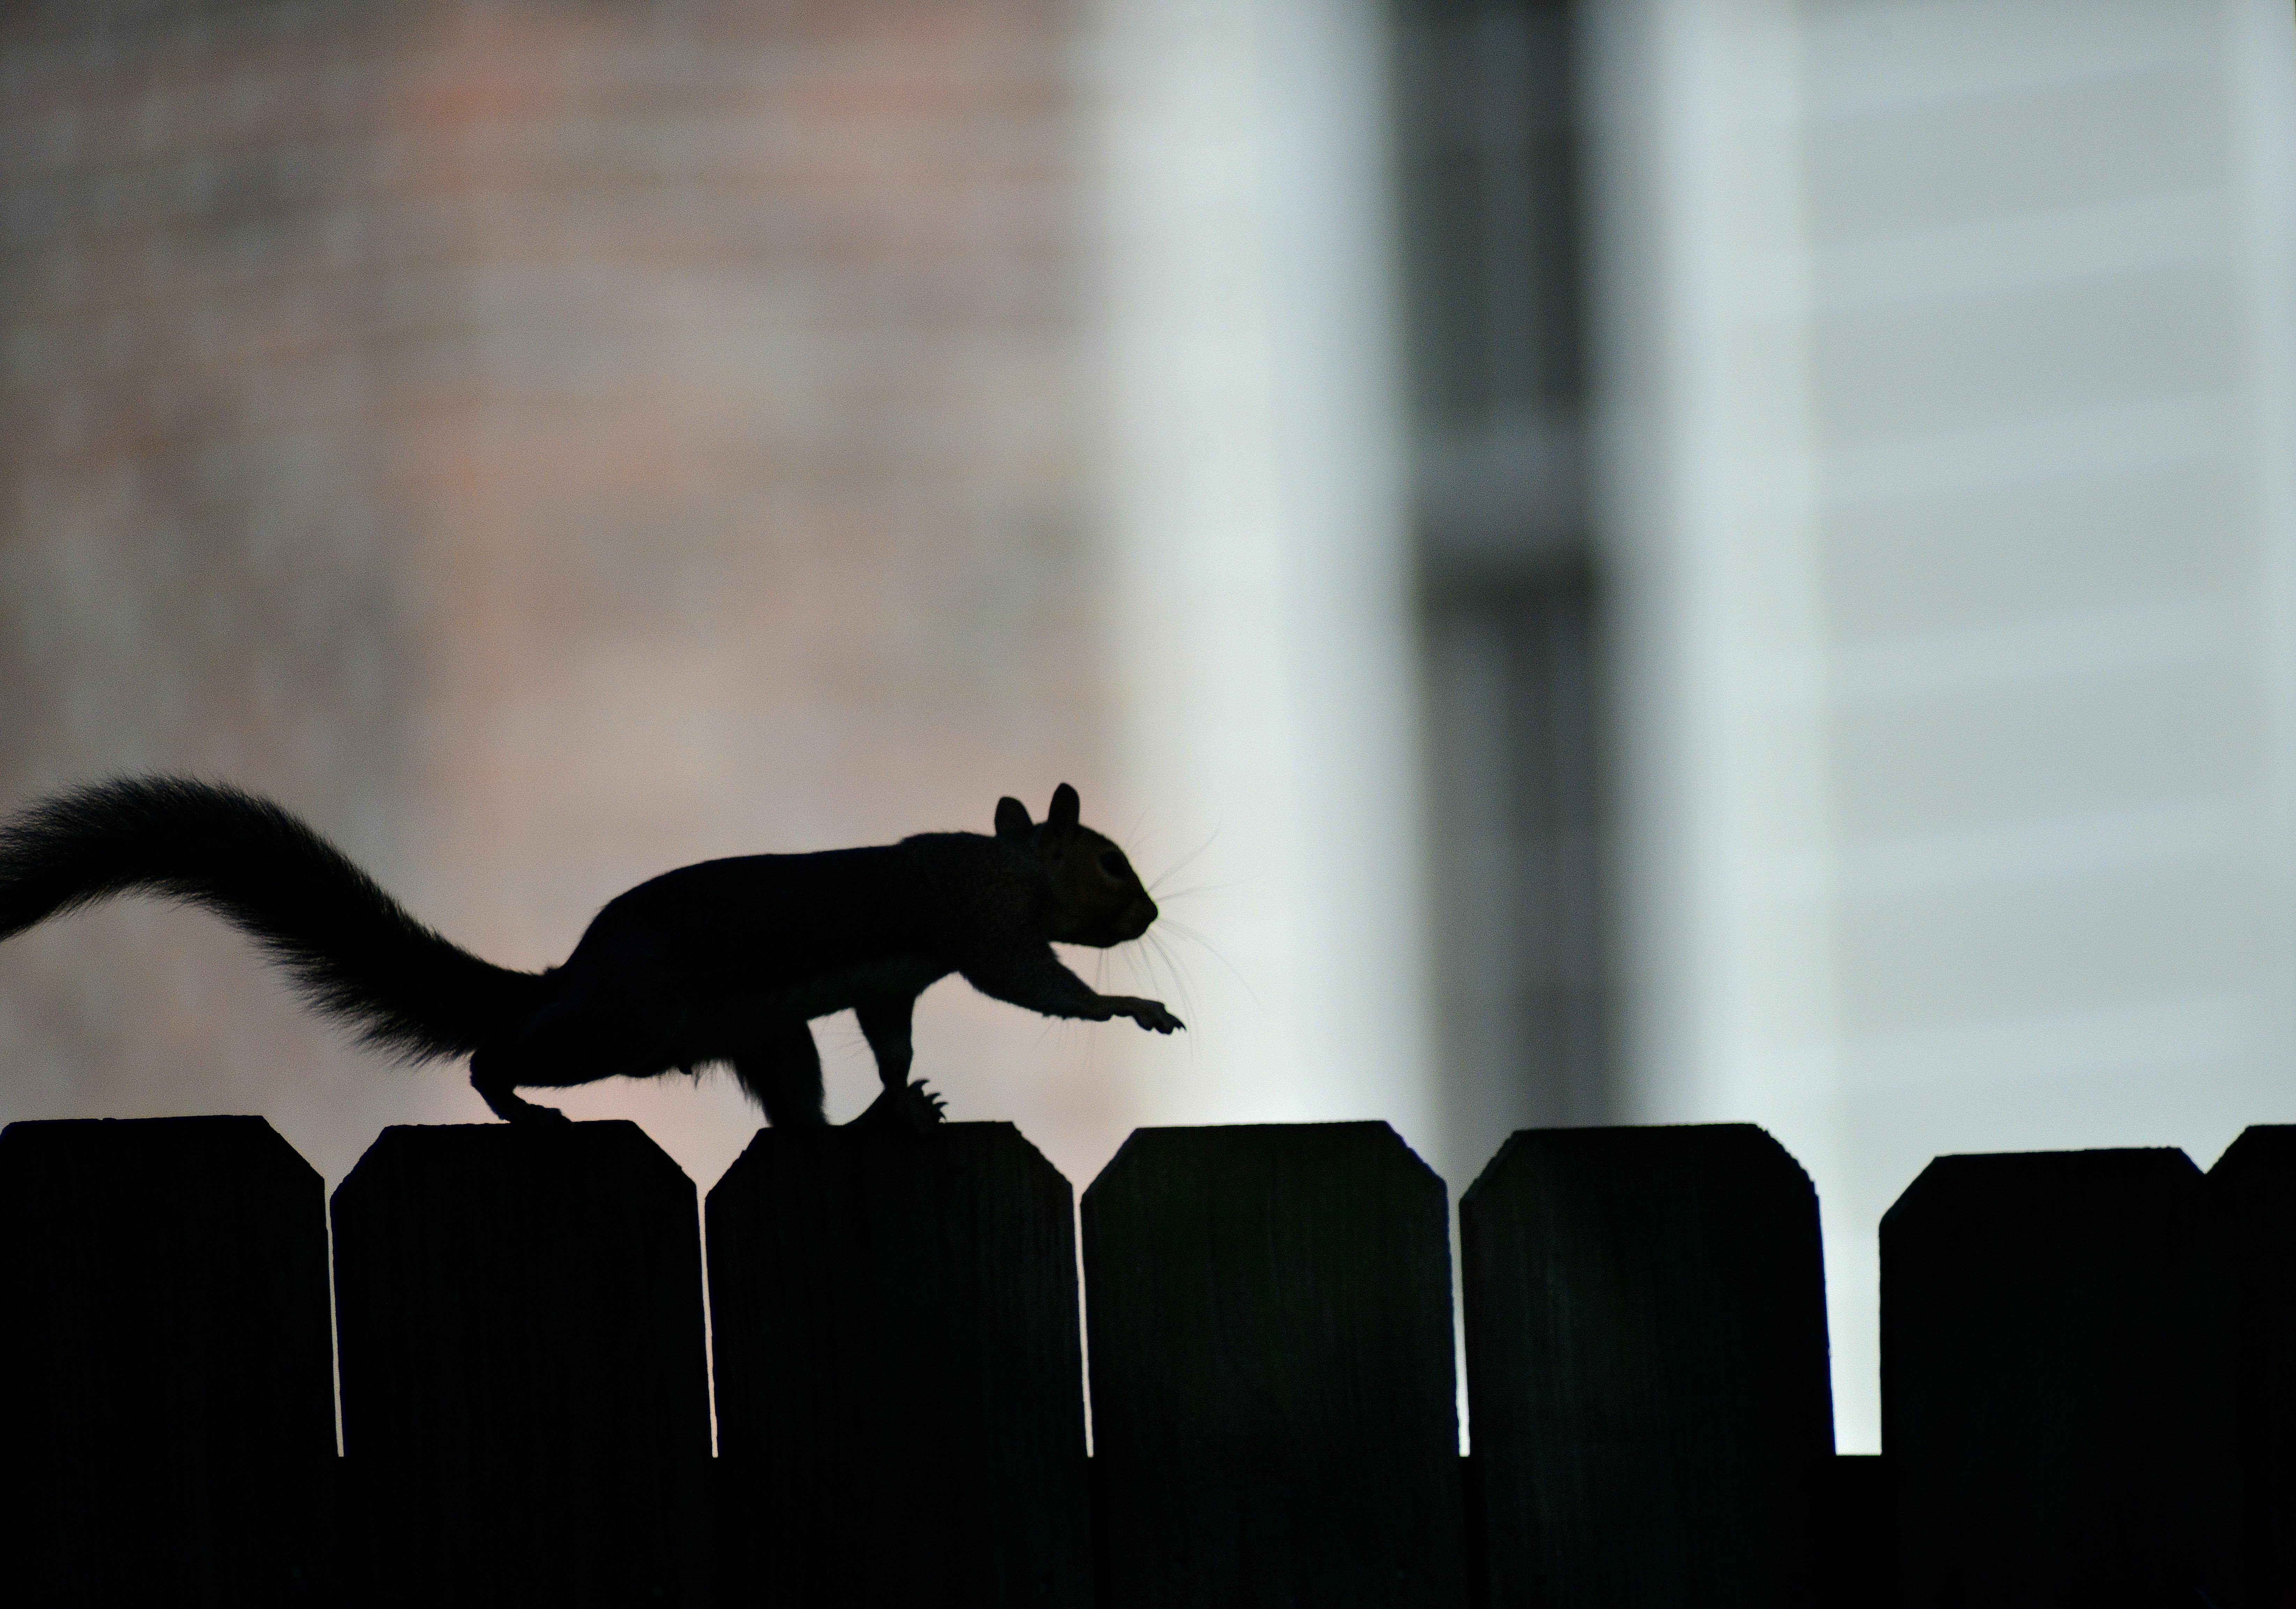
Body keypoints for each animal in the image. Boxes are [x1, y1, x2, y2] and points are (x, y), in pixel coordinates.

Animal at [0, 776, 1182, 1129]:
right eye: (1109, 862)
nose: (1151, 915)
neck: (1008, 868)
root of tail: (574, 969)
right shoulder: (978, 932)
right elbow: (1038, 989)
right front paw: (1129, 1010)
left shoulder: (892, 988)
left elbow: (890, 1040)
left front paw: (901, 1097)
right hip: (628, 1022)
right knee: (506, 1049)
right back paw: (513, 1100)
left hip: (770, 1035)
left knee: (798, 1121)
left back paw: (860, 1127)